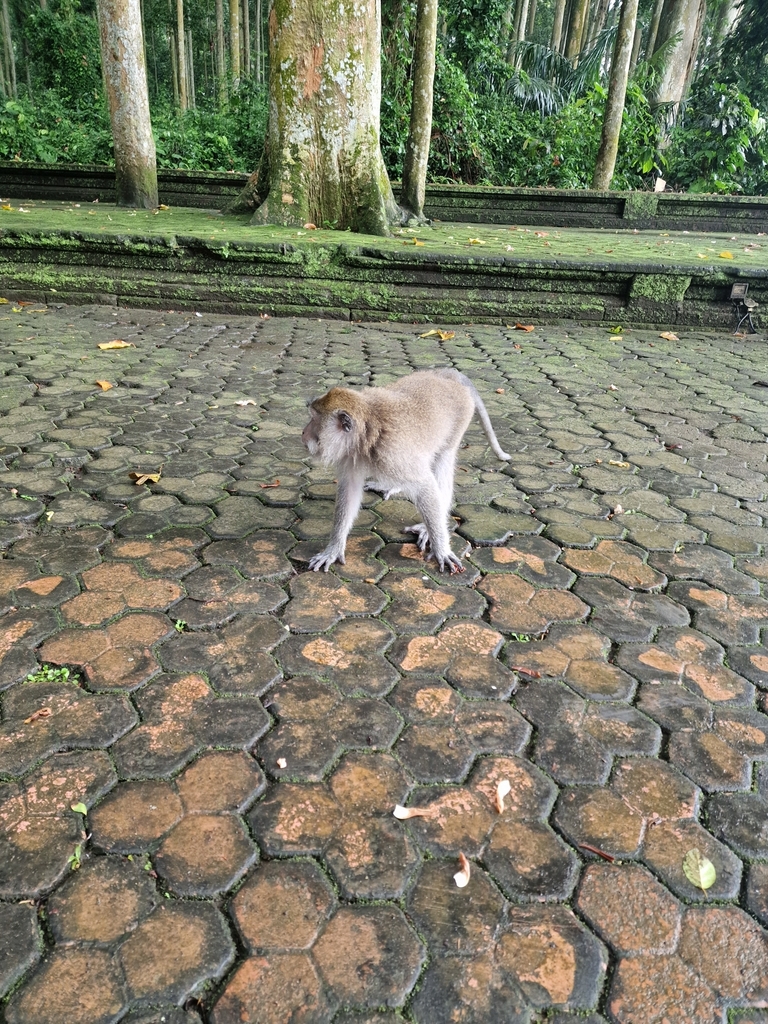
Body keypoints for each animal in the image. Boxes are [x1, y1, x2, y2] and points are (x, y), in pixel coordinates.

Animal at [301, 368, 511, 574]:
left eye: (314, 419)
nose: (303, 432)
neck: (367, 432)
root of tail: (446, 376)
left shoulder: (392, 453)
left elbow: (425, 485)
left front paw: (441, 549)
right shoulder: (351, 456)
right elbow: (350, 490)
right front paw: (333, 549)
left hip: (460, 419)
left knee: (443, 458)